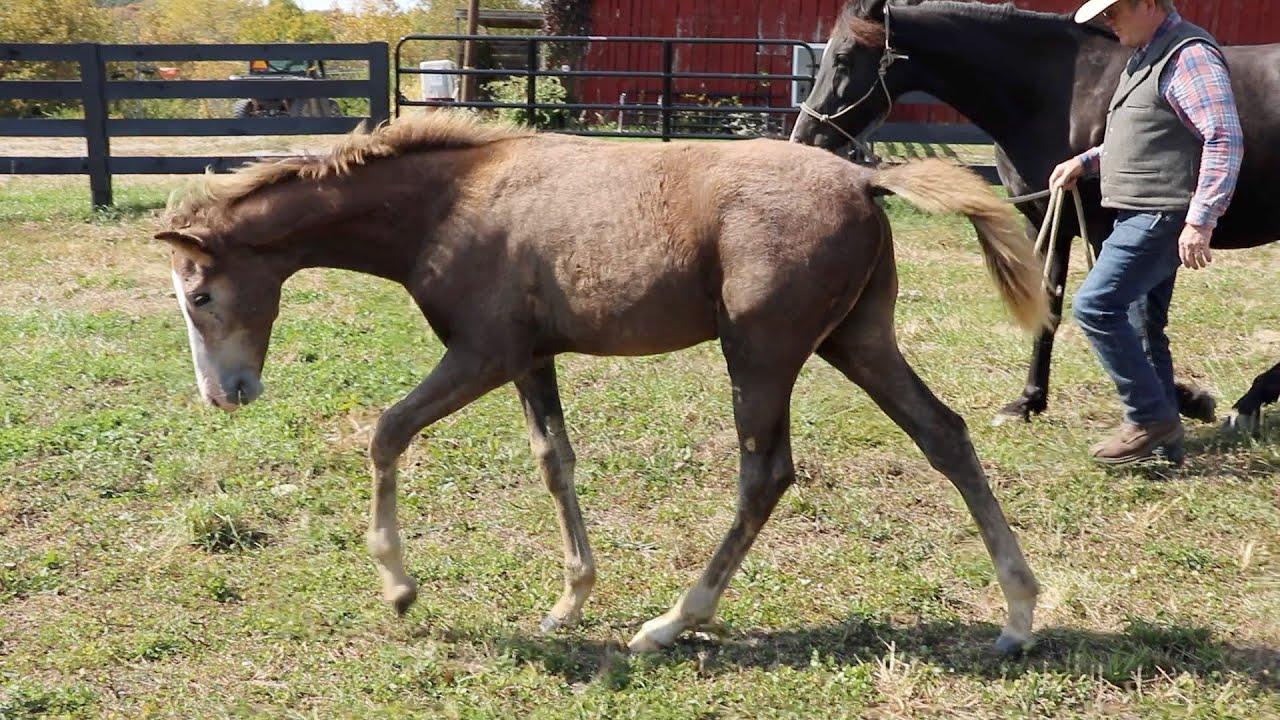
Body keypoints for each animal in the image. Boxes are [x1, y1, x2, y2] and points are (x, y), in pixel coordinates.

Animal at [156, 112, 1049, 654]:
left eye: (199, 296)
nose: (224, 394)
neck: (449, 203)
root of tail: (862, 179)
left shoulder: (481, 353)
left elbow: (388, 430)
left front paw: (400, 587)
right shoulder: (530, 358)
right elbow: (556, 462)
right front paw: (569, 602)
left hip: (761, 351)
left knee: (765, 474)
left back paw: (671, 623)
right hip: (857, 341)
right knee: (944, 433)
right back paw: (1017, 614)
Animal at [790, 0, 1280, 433]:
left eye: (843, 58)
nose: (805, 137)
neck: (1058, 92)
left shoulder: (1107, 230)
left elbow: (1129, 317)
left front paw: (1189, 399)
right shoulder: (1050, 218)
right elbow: (1051, 305)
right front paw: (1028, 401)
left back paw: (1249, 402)